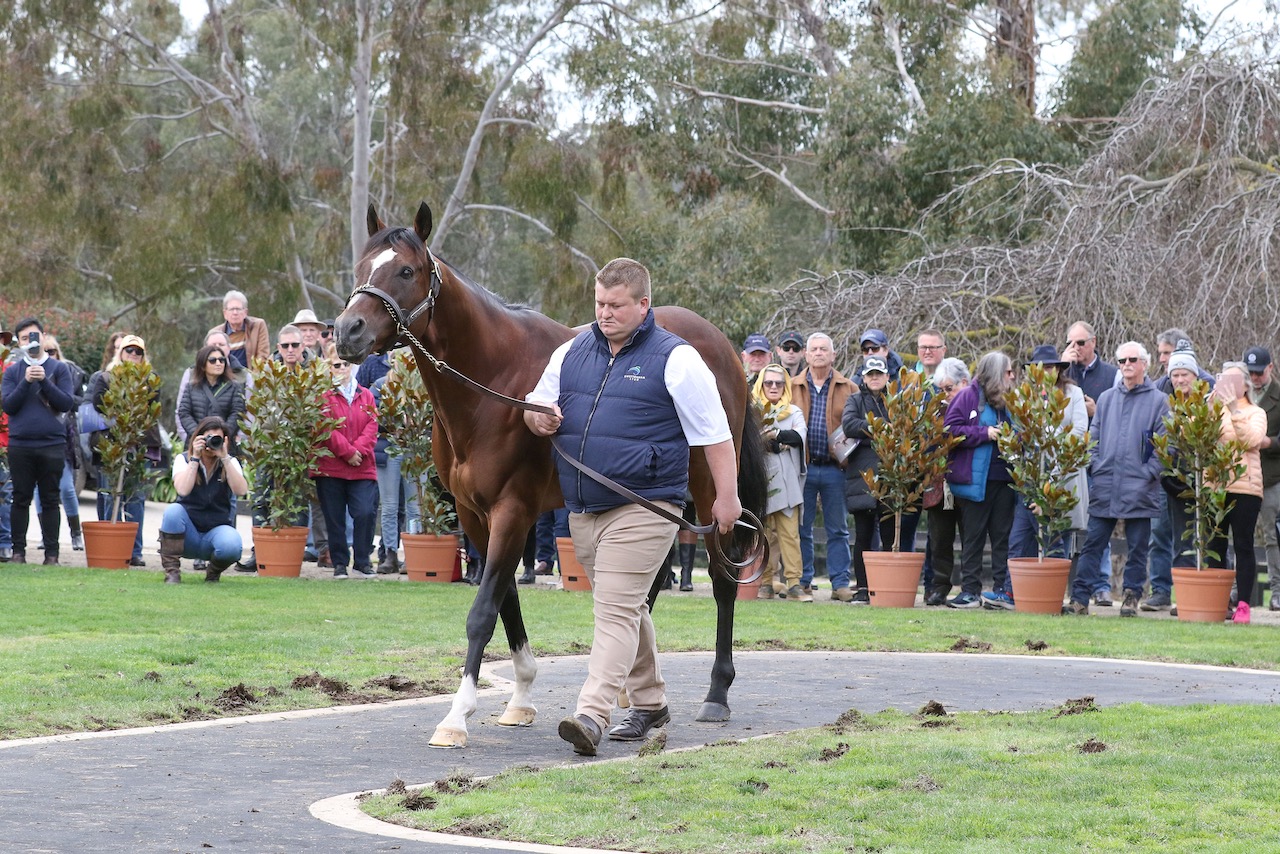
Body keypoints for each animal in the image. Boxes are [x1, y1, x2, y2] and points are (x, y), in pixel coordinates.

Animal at [334, 201, 768, 749]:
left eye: (407, 271)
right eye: (360, 268)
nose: (346, 331)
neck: (494, 383)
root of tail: (722, 349)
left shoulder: (513, 511)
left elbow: (483, 612)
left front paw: (456, 717)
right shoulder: (476, 516)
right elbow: (506, 603)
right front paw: (519, 699)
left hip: (711, 490)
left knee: (722, 580)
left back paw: (716, 694)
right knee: (644, 588)